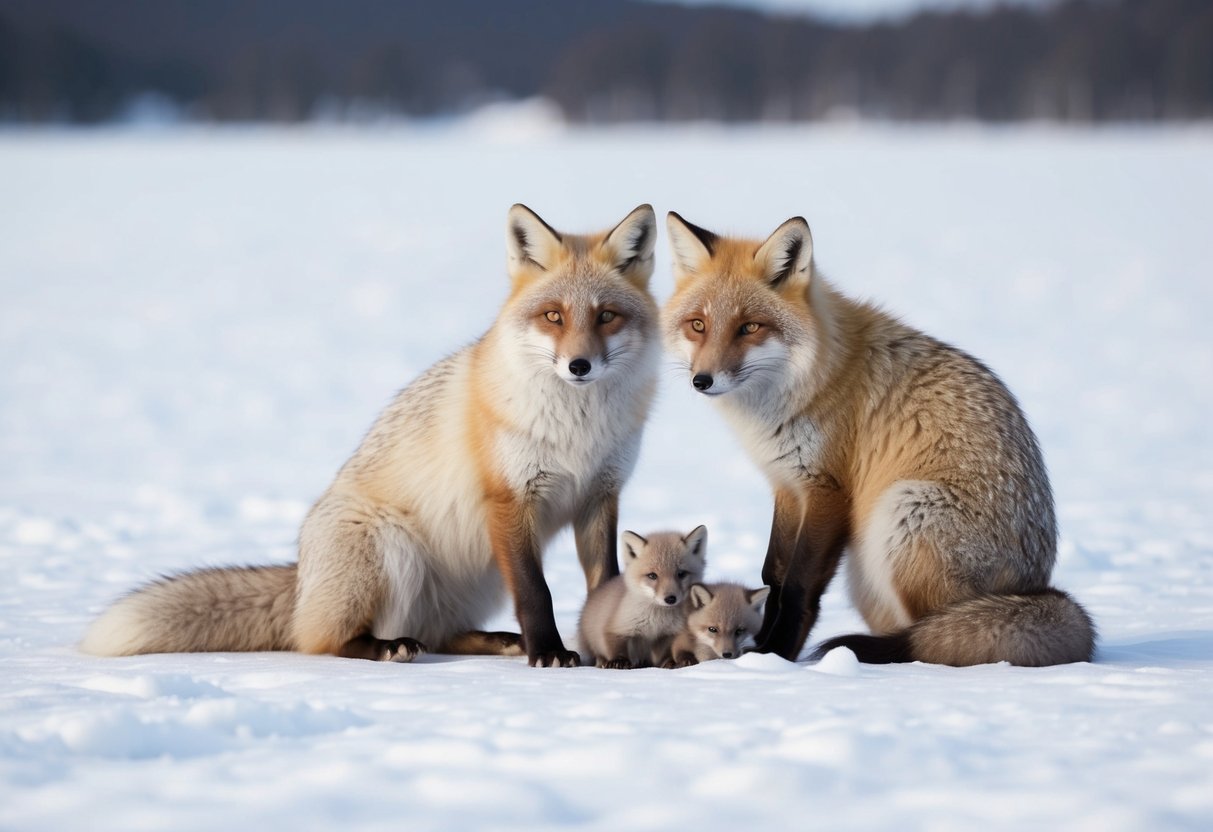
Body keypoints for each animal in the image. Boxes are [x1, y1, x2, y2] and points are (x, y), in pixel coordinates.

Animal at [80, 203, 661, 668]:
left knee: (440, 634)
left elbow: (604, 582)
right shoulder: (510, 499)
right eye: (553, 316)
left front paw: (603, 650)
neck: (579, 432)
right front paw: (550, 653)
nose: (579, 366)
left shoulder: (599, 495)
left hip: (477, 578)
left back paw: (492, 641)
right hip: (391, 548)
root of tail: (301, 580)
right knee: (324, 642)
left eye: (607, 316)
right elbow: (537, 594)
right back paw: (386, 647)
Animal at [577, 526, 707, 668]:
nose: (670, 599)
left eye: (681, 574)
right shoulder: (617, 627)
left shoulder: (670, 634)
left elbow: (668, 653)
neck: (656, 622)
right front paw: (619, 661)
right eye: (652, 576)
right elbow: (616, 647)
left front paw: (673, 662)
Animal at [661, 211, 1095, 667]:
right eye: (698, 325)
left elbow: (798, 587)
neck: (812, 378)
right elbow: (772, 574)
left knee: (934, 637)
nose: (702, 380)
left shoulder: (829, 490)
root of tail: (1034, 585)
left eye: (749, 327)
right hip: (867, 569)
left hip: (902, 513)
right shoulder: (787, 482)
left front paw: (776, 656)